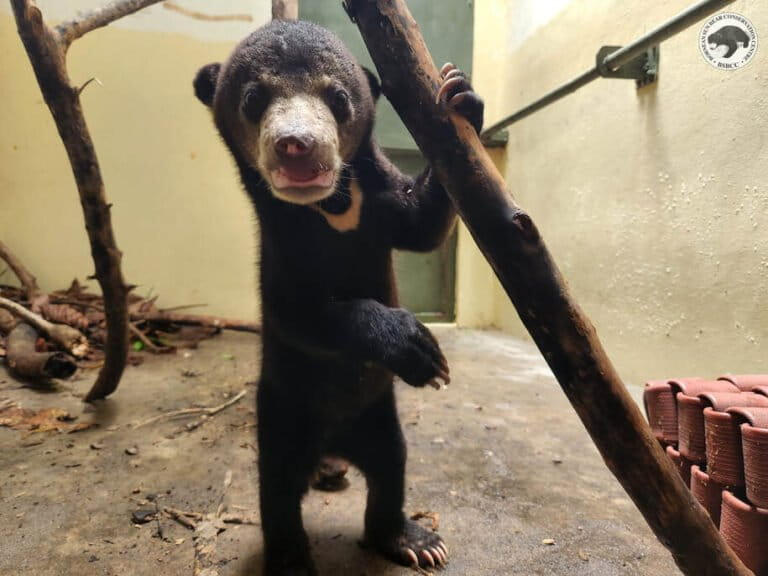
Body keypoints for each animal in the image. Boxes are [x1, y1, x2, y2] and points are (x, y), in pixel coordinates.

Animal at [194, 19, 483, 575]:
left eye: (338, 98)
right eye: (254, 98)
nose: (297, 146)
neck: (333, 208)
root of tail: (335, 447)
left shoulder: (381, 203)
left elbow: (422, 224)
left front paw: (460, 93)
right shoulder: (281, 251)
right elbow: (300, 314)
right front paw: (419, 349)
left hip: (379, 419)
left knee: (391, 469)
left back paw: (415, 540)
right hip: (283, 411)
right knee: (278, 488)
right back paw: (290, 557)